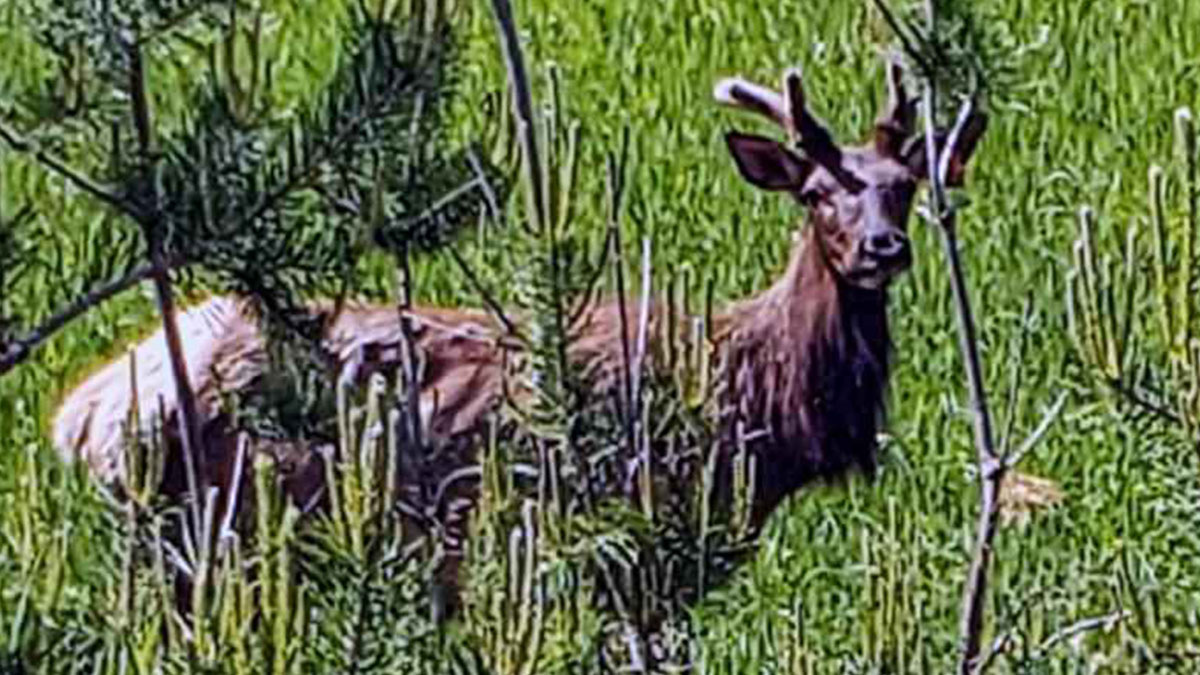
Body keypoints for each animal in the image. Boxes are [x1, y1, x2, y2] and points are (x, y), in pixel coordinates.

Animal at [52, 60, 1012, 610]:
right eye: (816, 192)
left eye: (904, 188)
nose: (884, 247)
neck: (760, 408)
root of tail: (86, 414)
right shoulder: (638, 530)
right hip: (201, 532)